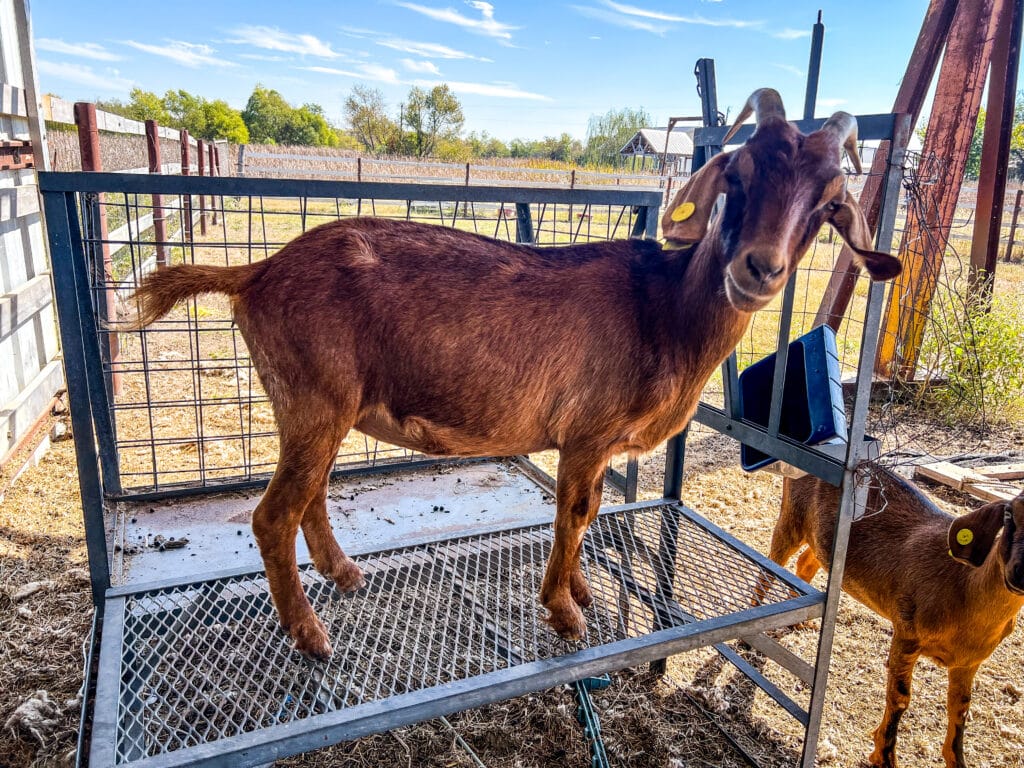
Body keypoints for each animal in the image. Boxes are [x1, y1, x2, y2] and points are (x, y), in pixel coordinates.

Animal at [125, 89, 902, 660]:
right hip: (313, 397)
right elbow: (575, 511)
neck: (663, 310)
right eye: (738, 175)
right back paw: (310, 636)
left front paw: (580, 592)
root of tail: (255, 271)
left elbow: (590, 510)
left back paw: (343, 575)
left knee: (308, 496)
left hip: (319, 409)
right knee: (272, 514)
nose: (758, 270)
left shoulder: (596, 447)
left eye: (831, 201)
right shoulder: (587, 434)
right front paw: (564, 611)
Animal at [770, 467, 1024, 768]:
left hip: (823, 540)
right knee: (775, 558)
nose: (1021, 573)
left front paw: (956, 760)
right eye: (1010, 515)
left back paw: (798, 619)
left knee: (808, 561)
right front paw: (884, 755)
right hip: (792, 515)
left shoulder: (969, 662)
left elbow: (960, 708)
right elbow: (901, 697)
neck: (963, 587)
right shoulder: (906, 632)